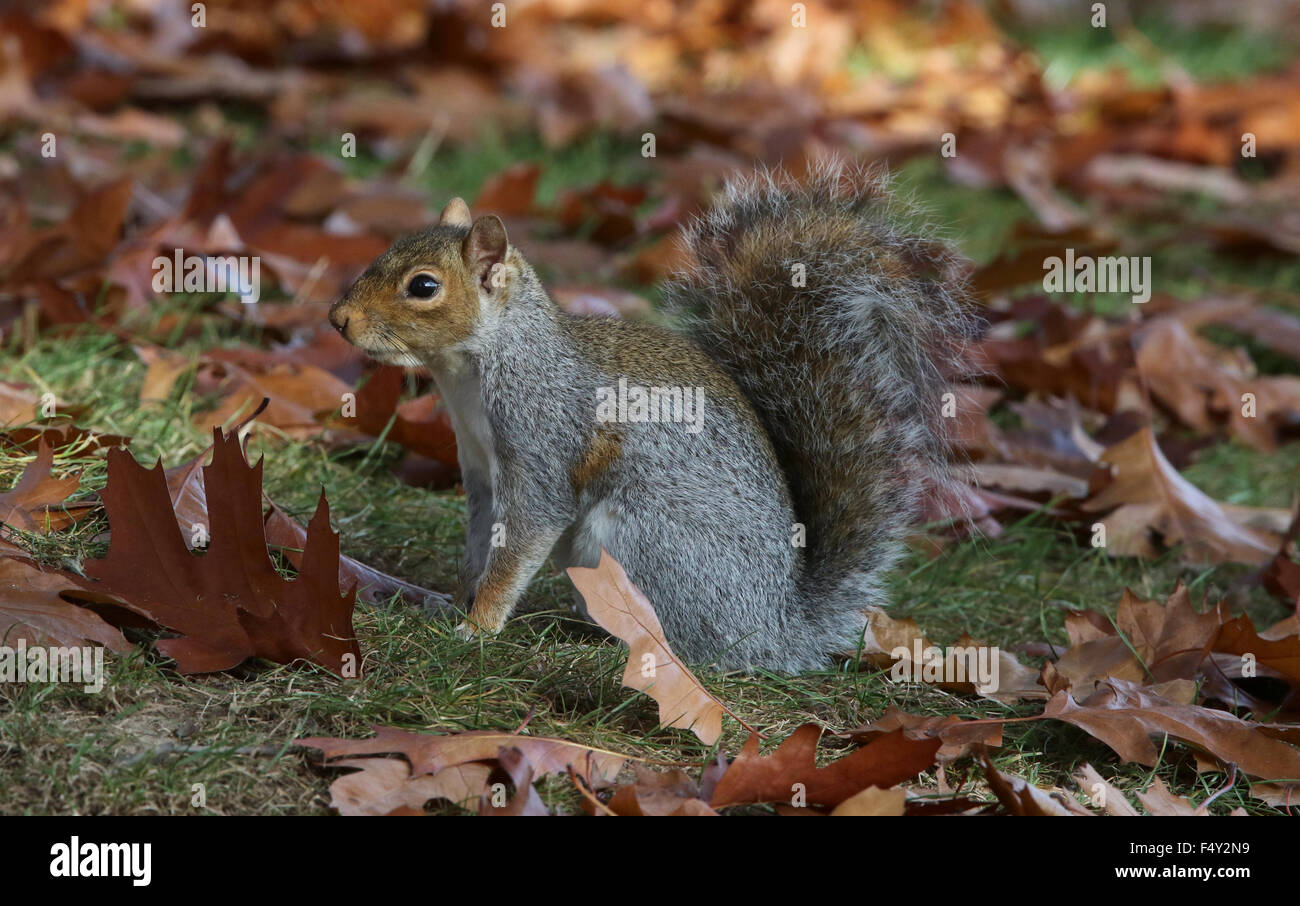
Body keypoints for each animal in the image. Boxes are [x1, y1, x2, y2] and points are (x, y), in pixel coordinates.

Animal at [328, 158, 974, 672]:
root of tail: (775, 630)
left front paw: (477, 625)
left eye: (424, 286)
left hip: (643, 540)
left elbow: (524, 536)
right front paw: (458, 599)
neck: (476, 367)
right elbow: (481, 536)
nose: (338, 319)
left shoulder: (541, 442)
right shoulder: (480, 465)